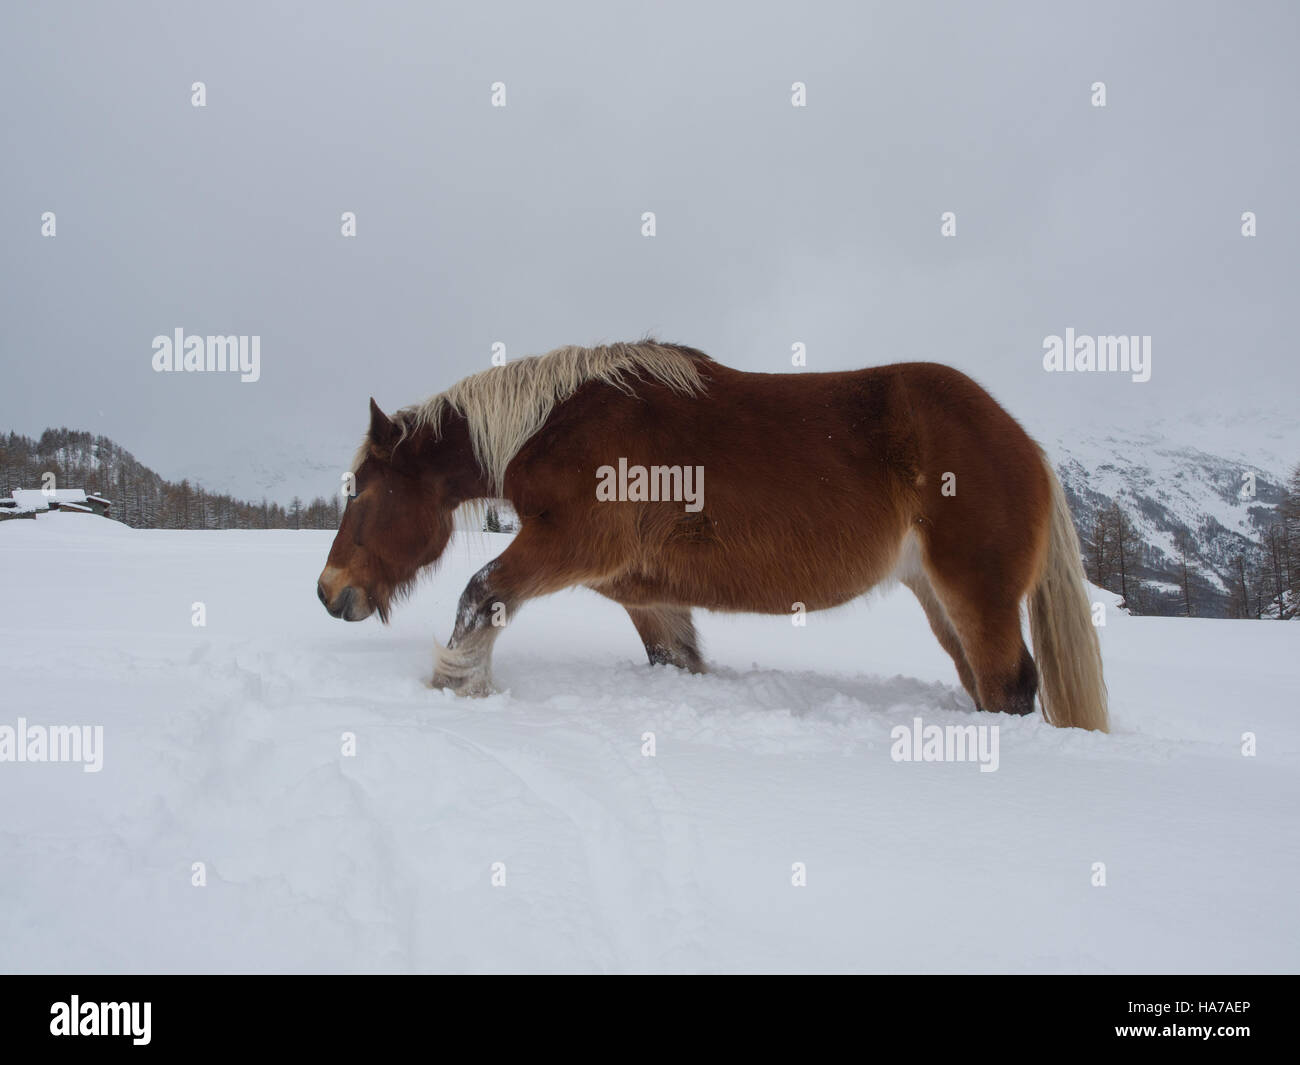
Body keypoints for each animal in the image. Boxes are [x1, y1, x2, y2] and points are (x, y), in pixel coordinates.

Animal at [317, 341, 1108, 731]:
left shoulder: (570, 546)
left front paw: (458, 683)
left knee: (1009, 685)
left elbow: (480, 595)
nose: (330, 593)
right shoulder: (643, 592)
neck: (558, 424)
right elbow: (675, 657)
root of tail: (1027, 446)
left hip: (977, 595)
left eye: (365, 491)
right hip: (939, 598)